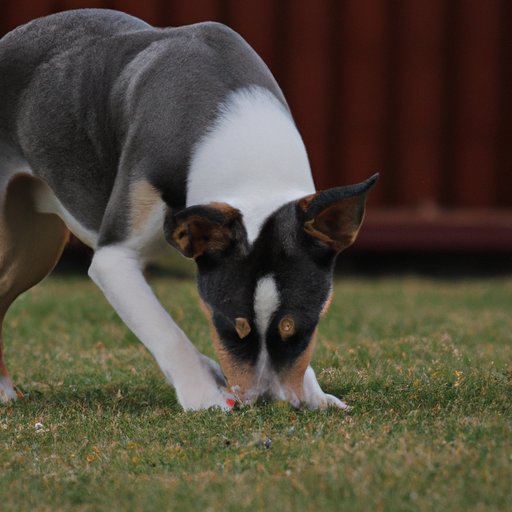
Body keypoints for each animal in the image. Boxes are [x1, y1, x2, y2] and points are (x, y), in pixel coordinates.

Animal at [0, 10, 378, 410]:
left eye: (299, 328)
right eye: (231, 327)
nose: (266, 402)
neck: (250, 167)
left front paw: (313, 393)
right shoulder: (115, 259)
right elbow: (166, 333)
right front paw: (203, 395)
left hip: (35, 249)